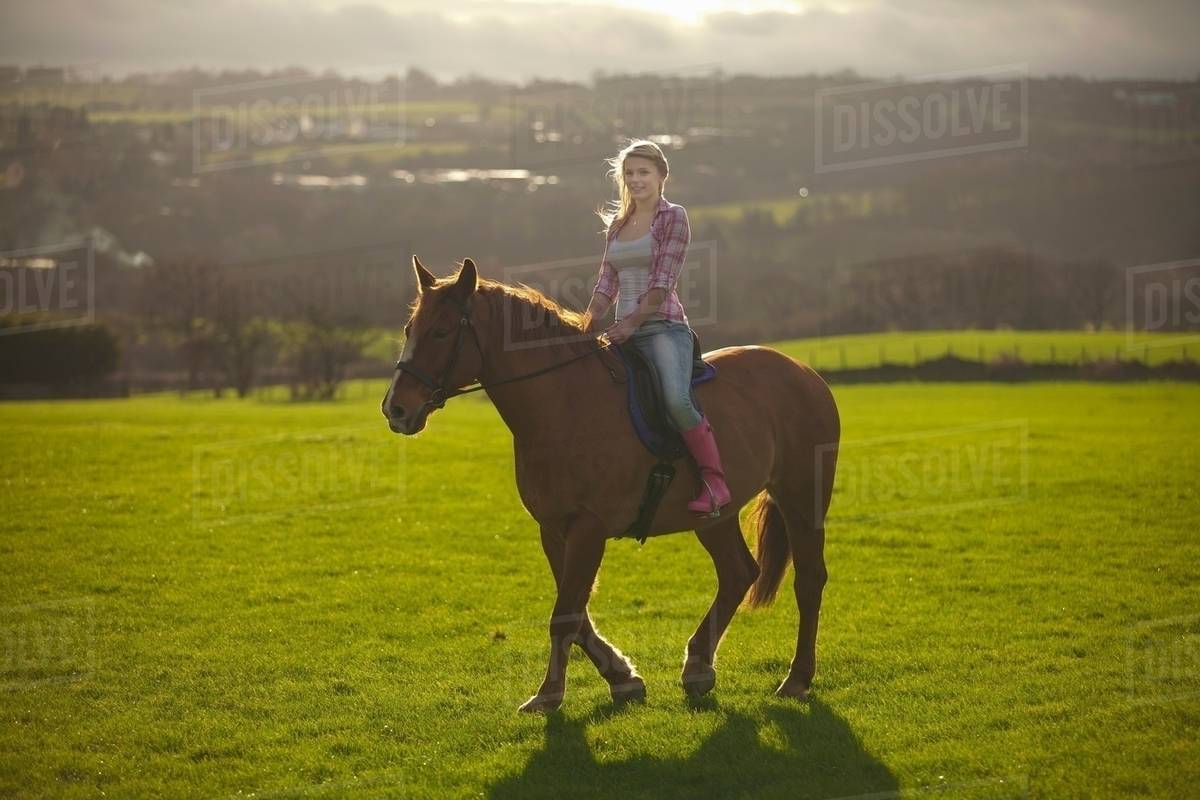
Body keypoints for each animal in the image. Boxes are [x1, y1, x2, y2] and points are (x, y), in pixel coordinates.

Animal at [382, 256, 840, 713]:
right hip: (714, 516)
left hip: (802, 498)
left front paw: (549, 694)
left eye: (442, 332)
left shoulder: (589, 528)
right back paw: (698, 666)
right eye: (409, 330)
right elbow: (576, 613)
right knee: (738, 573)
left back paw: (796, 679)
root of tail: (804, 373)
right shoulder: (554, 529)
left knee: (808, 580)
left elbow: (566, 614)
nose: (395, 408)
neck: (564, 403)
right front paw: (623, 678)